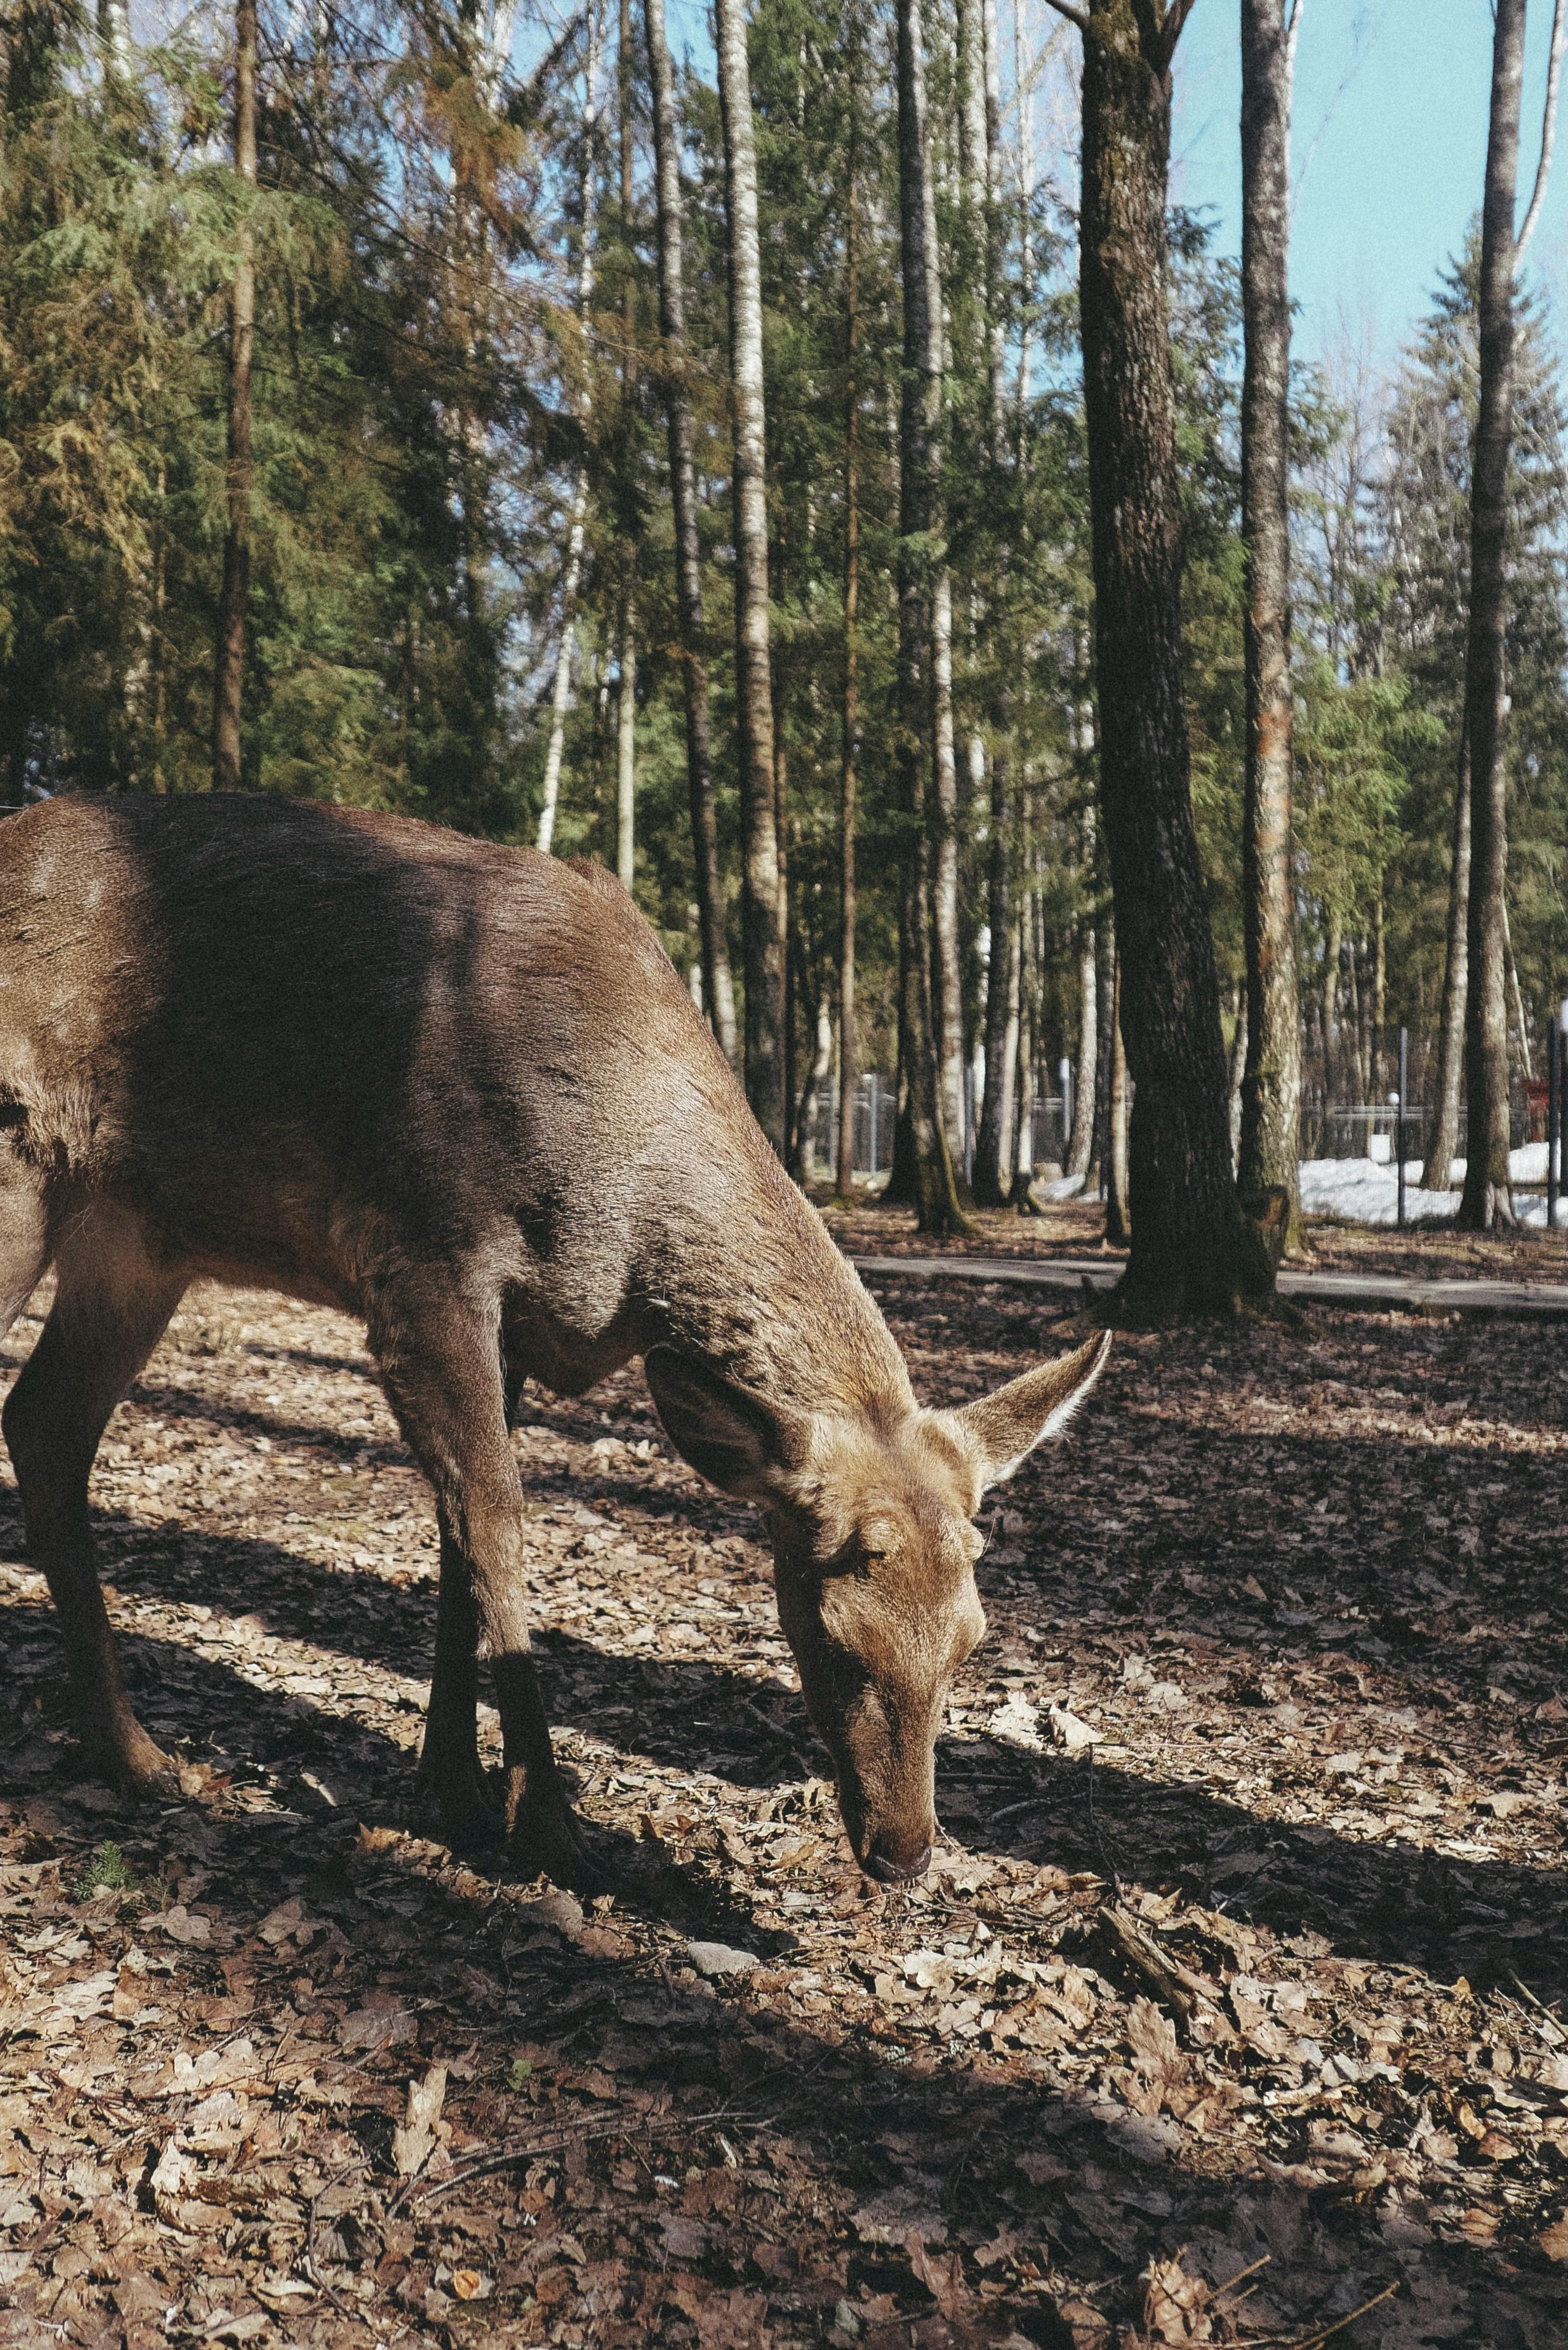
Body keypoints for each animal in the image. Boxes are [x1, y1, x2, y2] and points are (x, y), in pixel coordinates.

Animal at [0, 795, 1108, 1888]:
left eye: (973, 1639)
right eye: (831, 1635)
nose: (907, 1852)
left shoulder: (521, 1325)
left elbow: (454, 1537)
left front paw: (452, 1786)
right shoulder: (424, 1262)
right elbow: (494, 1516)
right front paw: (545, 1823)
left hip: (141, 1240)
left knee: (43, 1420)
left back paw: (135, 1753)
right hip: (30, 1178)